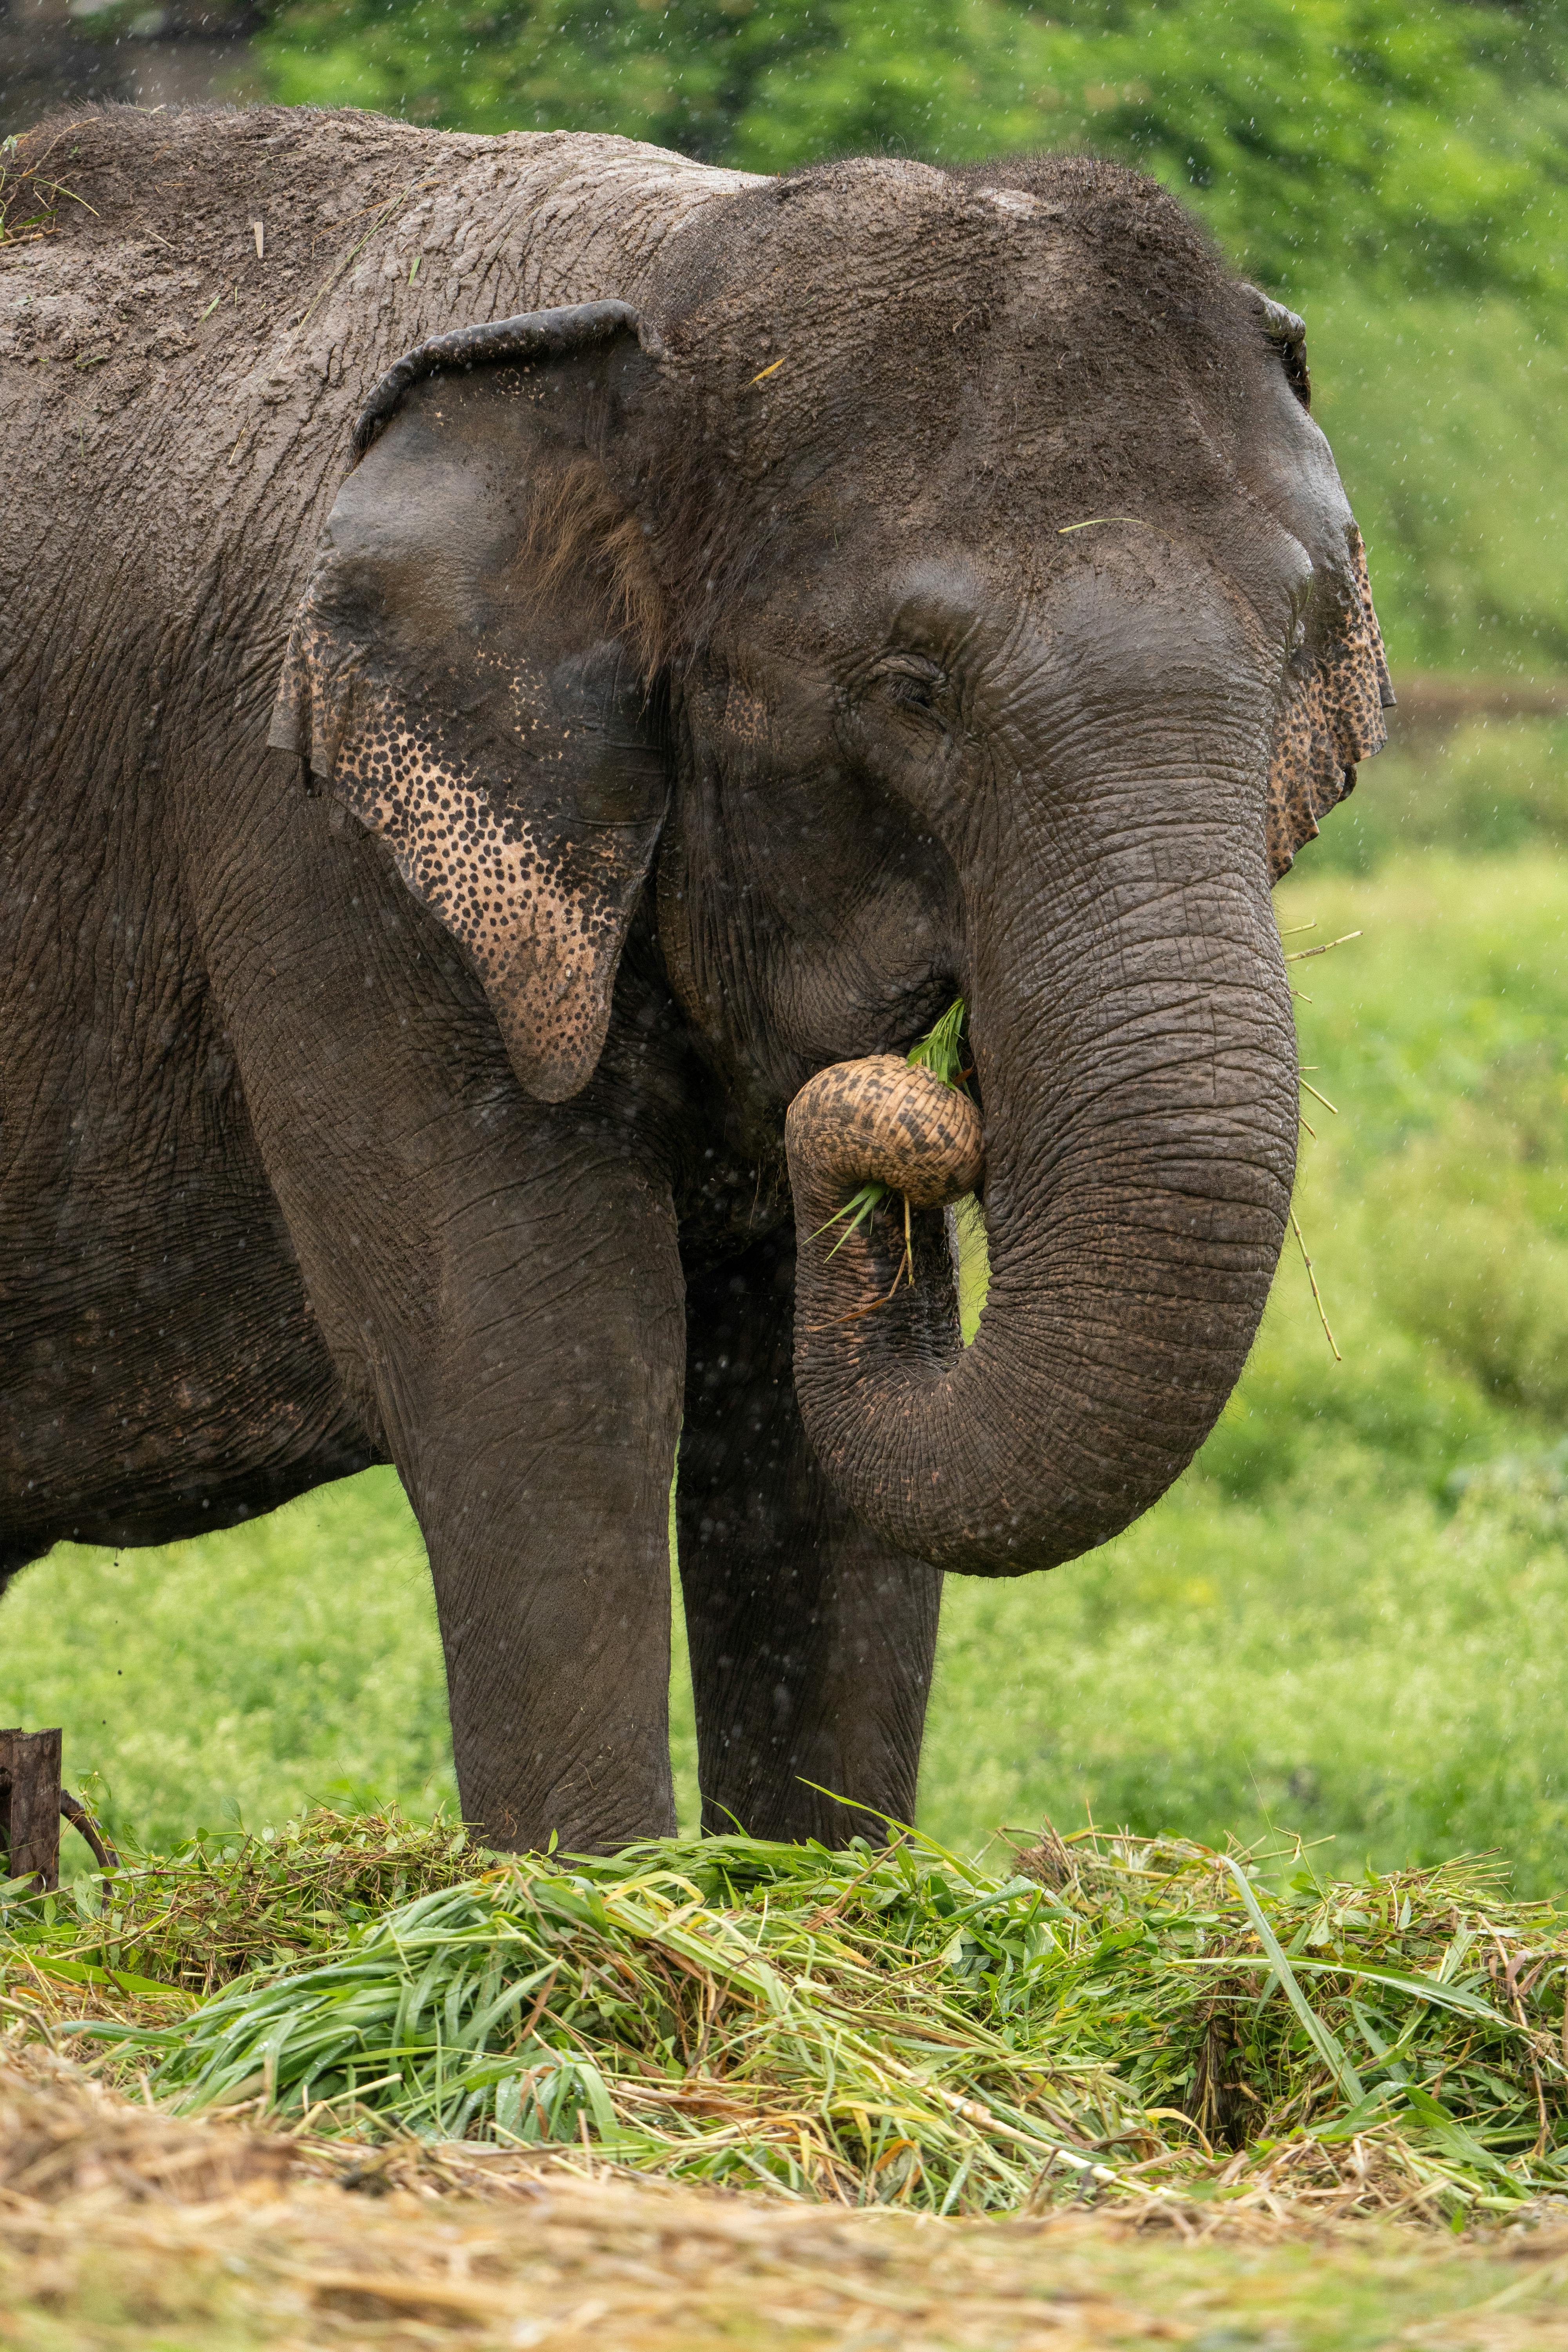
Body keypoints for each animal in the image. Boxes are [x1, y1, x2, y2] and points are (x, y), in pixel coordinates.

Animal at [0, 105, 1390, 1853]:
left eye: (1300, 646)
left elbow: (795, 1452)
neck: (673, 284)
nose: (921, 1107)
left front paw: (817, 1885)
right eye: (909, 691)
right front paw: (590, 1900)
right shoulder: (307, 832)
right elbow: (546, 1379)